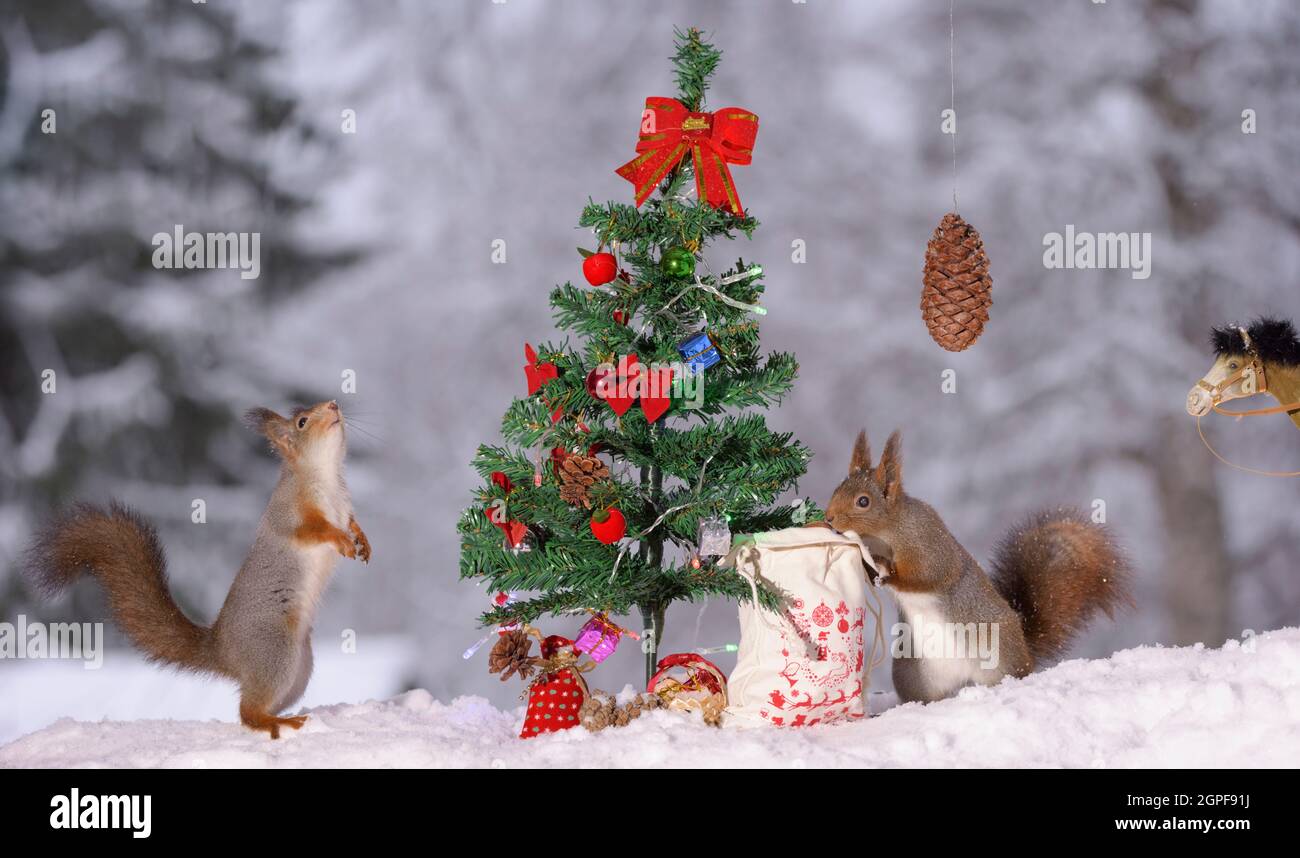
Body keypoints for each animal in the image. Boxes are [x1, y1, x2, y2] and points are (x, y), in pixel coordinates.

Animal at [24, 400, 370, 738]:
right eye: (302, 422)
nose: (334, 405)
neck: (326, 475)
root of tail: (221, 650)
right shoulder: (288, 513)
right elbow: (311, 530)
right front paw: (339, 538)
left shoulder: (345, 507)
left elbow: (353, 522)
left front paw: (362, 542)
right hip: (274, 651)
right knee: (246, 712)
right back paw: (275, 723)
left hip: (299, 669)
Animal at [818, 429, 1130, 704]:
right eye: (837, 488)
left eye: (863, 502)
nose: (829, 518)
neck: (888, 530)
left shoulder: (929, 547)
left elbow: (925, 577)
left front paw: (887, 573)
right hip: (913, 673)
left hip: (998, 650)